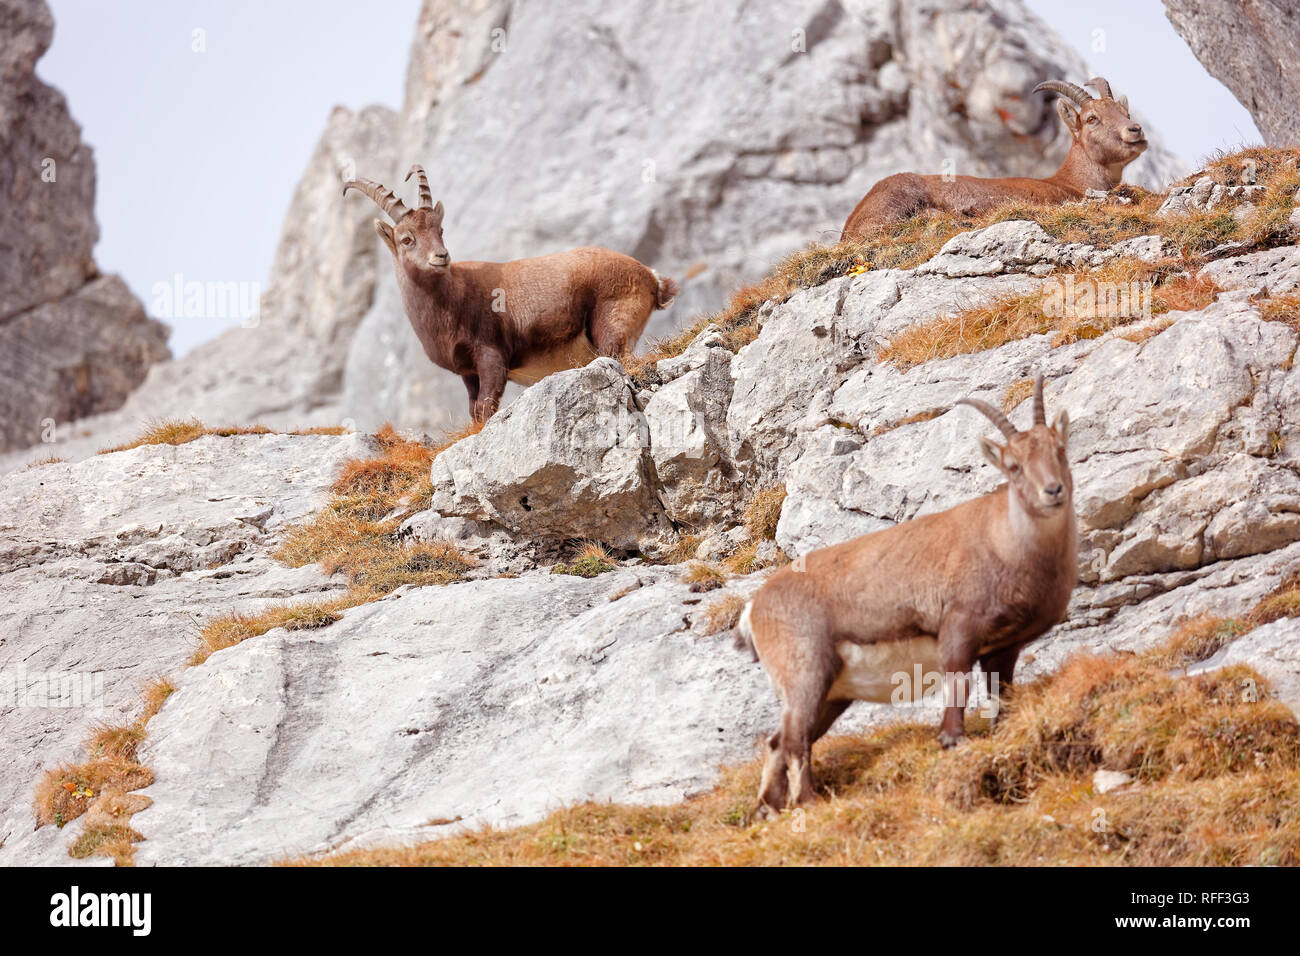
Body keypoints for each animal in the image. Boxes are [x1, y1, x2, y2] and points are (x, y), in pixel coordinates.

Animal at [343, 166, 679, 421]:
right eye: (406, 239)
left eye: (440, 230)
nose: (441, 256)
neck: (451, 299)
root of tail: (650, 276)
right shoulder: (468, 372)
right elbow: (474, 410)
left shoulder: (492, 355)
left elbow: (486, 407)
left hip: (611, 331)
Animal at [735, 377, 1077, 813]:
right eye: (1013, 466)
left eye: (1059, 450)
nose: (1053, 490)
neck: (1007, 543)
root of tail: (753, 608)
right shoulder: (959, 626)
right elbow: (957, 685)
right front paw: (951, 739)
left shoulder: (1004, 647)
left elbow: (1003, 698)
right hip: (805, 672)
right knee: (795, 740)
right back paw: (808, 802)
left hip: (831, 692)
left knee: (780, 740)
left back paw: (770, 807)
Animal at [841, 77, 1147, 238]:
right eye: (1092, 118)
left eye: (1125, 112)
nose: (1135, 130)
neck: (1071, 181)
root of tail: (850, 225)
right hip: (898, 199)